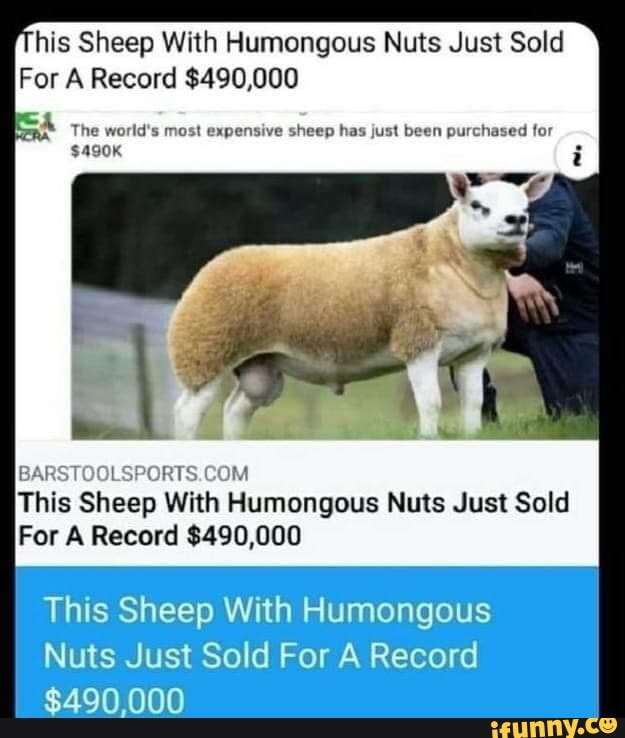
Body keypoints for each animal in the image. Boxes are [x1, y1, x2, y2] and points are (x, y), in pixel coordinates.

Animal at [167, 172, 554, 440]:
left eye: (525, 206)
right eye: (478, 206)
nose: (517, 221)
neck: (455, 261)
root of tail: (212, 266)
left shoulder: (475, 352)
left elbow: (474, 404)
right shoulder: (418, 341)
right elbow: (431, 403)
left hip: (259, 366)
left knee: (235, 410)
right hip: (205, 351)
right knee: (186, 413)